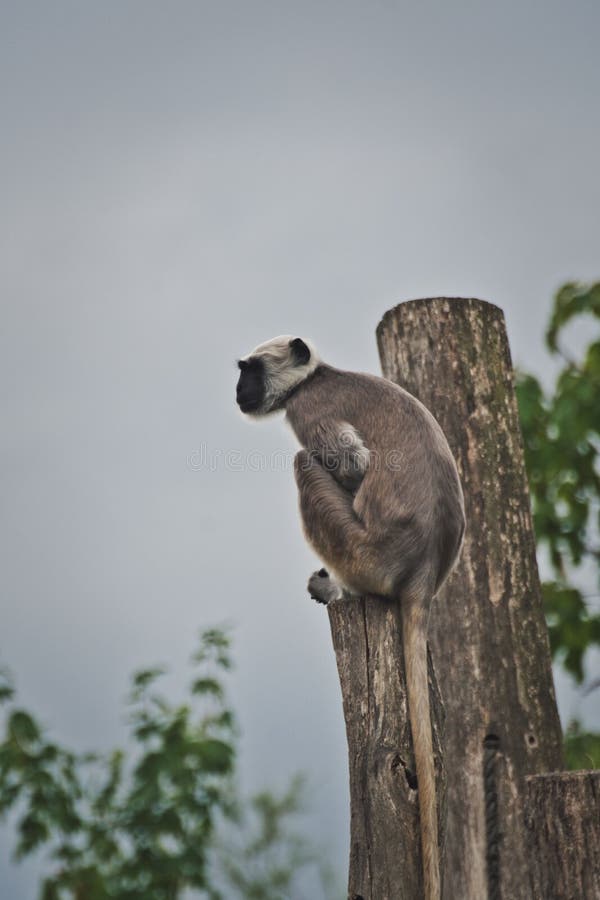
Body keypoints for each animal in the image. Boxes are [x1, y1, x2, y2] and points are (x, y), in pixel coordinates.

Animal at [236, 334, 465, 900]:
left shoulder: (309, 410)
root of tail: (424, 573)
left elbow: (354, 466)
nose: (238, 389)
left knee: (304, 464)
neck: (318, 376)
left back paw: (341, 588)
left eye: (251, 370)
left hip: (365, 555)